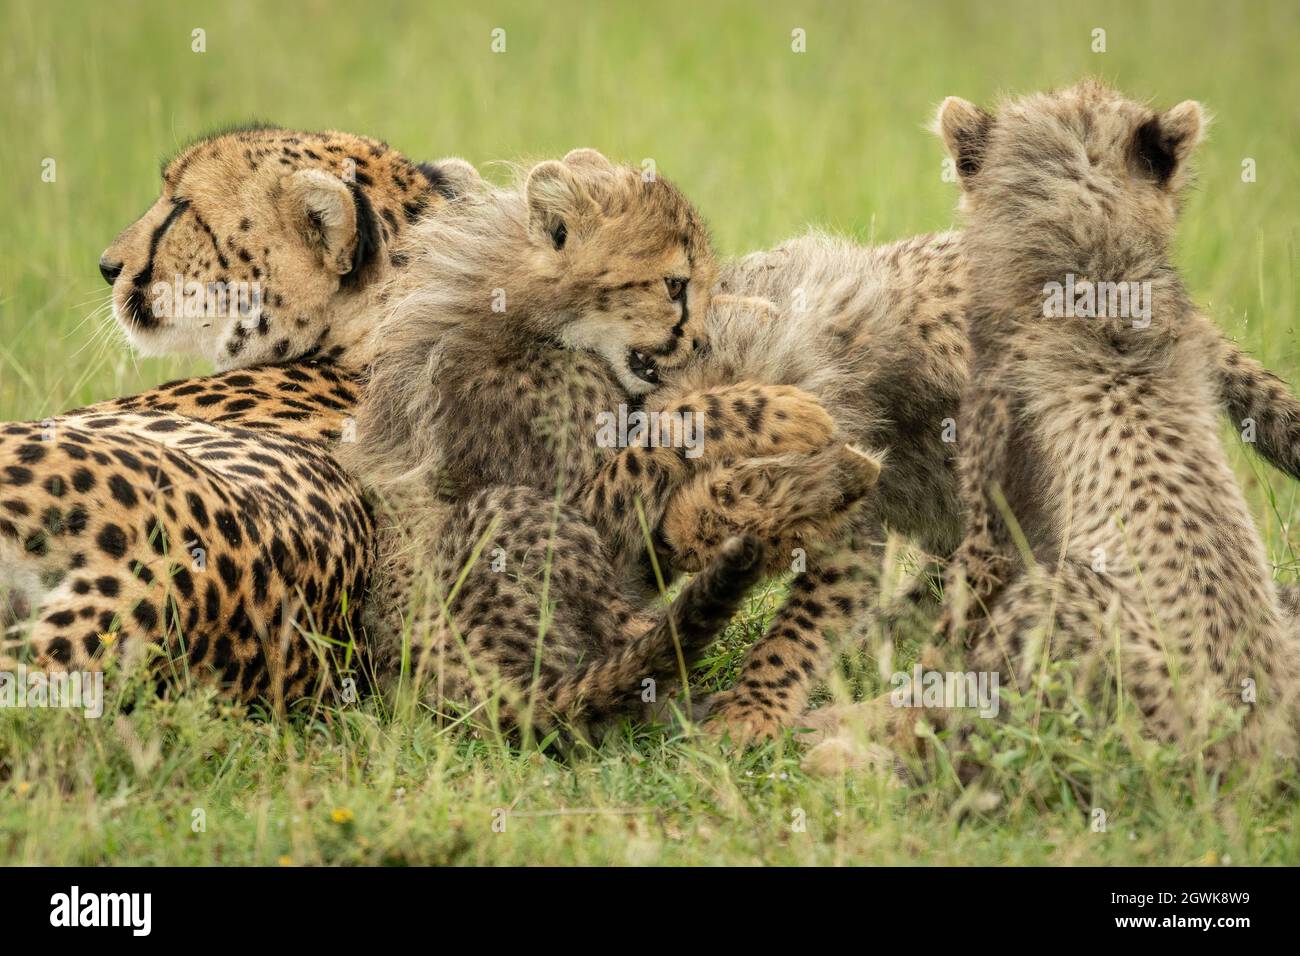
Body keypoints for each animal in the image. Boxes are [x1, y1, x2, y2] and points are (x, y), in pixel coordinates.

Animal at [347, 148, 882, 728]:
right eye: (674, 285)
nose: (699, 343)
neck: (533, 322)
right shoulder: (587, 506)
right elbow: (669, 426)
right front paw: (781, 407)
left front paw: (754, 310)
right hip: (503, 514)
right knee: (632, 642)